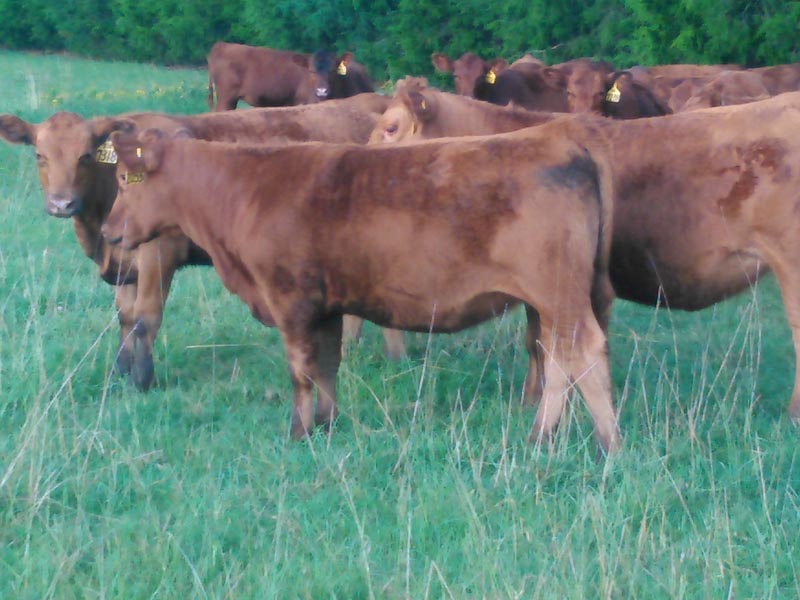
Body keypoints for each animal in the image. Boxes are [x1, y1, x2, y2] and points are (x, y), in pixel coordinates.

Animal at [0, 96, 390, 390]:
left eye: (84, 156)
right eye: (39, 155)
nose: (62, 204)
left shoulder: (158, 252)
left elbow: (146, 317)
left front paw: (143, 381)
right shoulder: (124, 261)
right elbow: (125, 318)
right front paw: (119, 373)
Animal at [100, 121, 622, 455]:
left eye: (126, 178)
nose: (106, 231)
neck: (246, 190)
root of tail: (563, 141)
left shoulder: (291, 302)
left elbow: (301, 372)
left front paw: (298, 432)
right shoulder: (327, 306)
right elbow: (328, 366)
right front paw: (326, 425)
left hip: (559, 293)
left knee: (585, 352)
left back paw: (609, 445)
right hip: (552, 302)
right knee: (558, 359)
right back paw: (541, 437)